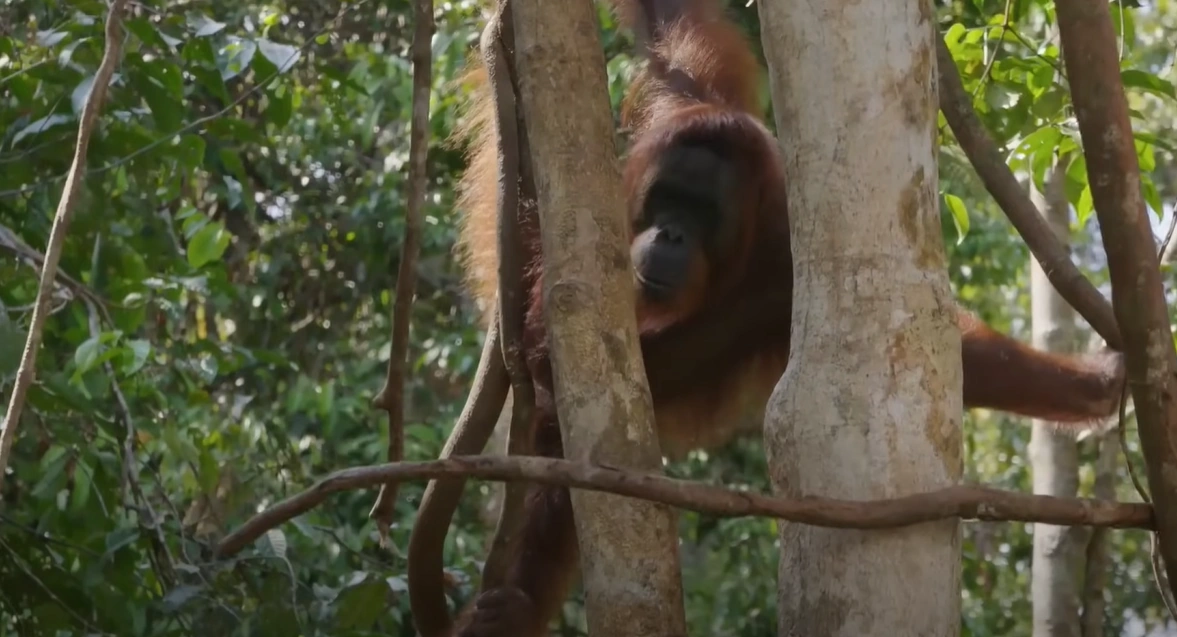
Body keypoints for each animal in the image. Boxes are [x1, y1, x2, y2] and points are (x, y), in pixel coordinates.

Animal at [422, 0, 1126, 634]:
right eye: (667, 198)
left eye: (702, 213)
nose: (671, 235)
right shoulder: (688, 98)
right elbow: (668, 21)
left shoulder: (782, 259)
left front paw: (1093, 385)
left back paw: (510, 610)